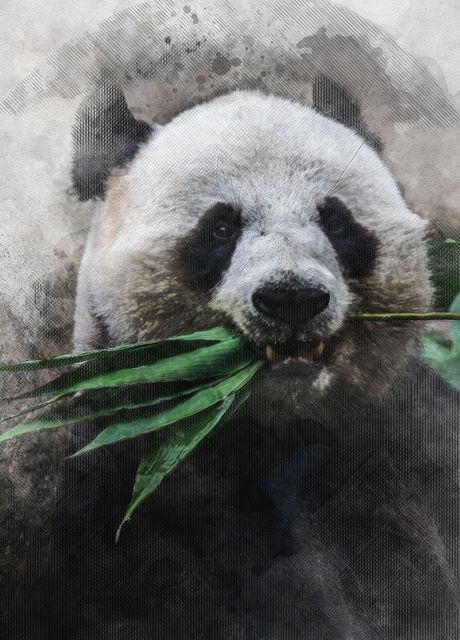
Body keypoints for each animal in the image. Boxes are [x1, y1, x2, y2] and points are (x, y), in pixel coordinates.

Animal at [14, 82, 456, 640]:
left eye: (335, 219)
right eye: (221, 227)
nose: (292, 298)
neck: (275, 425)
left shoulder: (401, 441)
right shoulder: (131, 479)